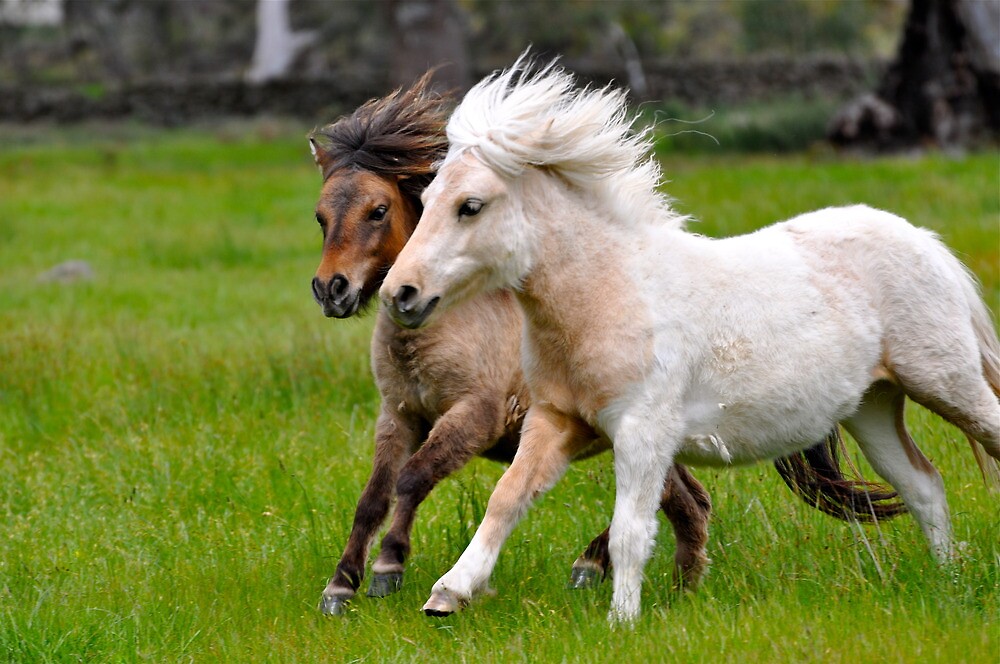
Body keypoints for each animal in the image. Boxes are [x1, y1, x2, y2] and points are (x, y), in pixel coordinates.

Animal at [380, 58, 1000, 623]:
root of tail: (926, 242)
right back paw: (948, 581)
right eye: (427, 199)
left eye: (471, 206)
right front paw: (448, 594)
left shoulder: (642, 433)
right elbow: (507, 497)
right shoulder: (557, 420)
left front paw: (621, 622)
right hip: (871, 407)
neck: (610, 293)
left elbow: (631, 530)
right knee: (924, 485)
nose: (399, 294)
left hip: (947, 384)